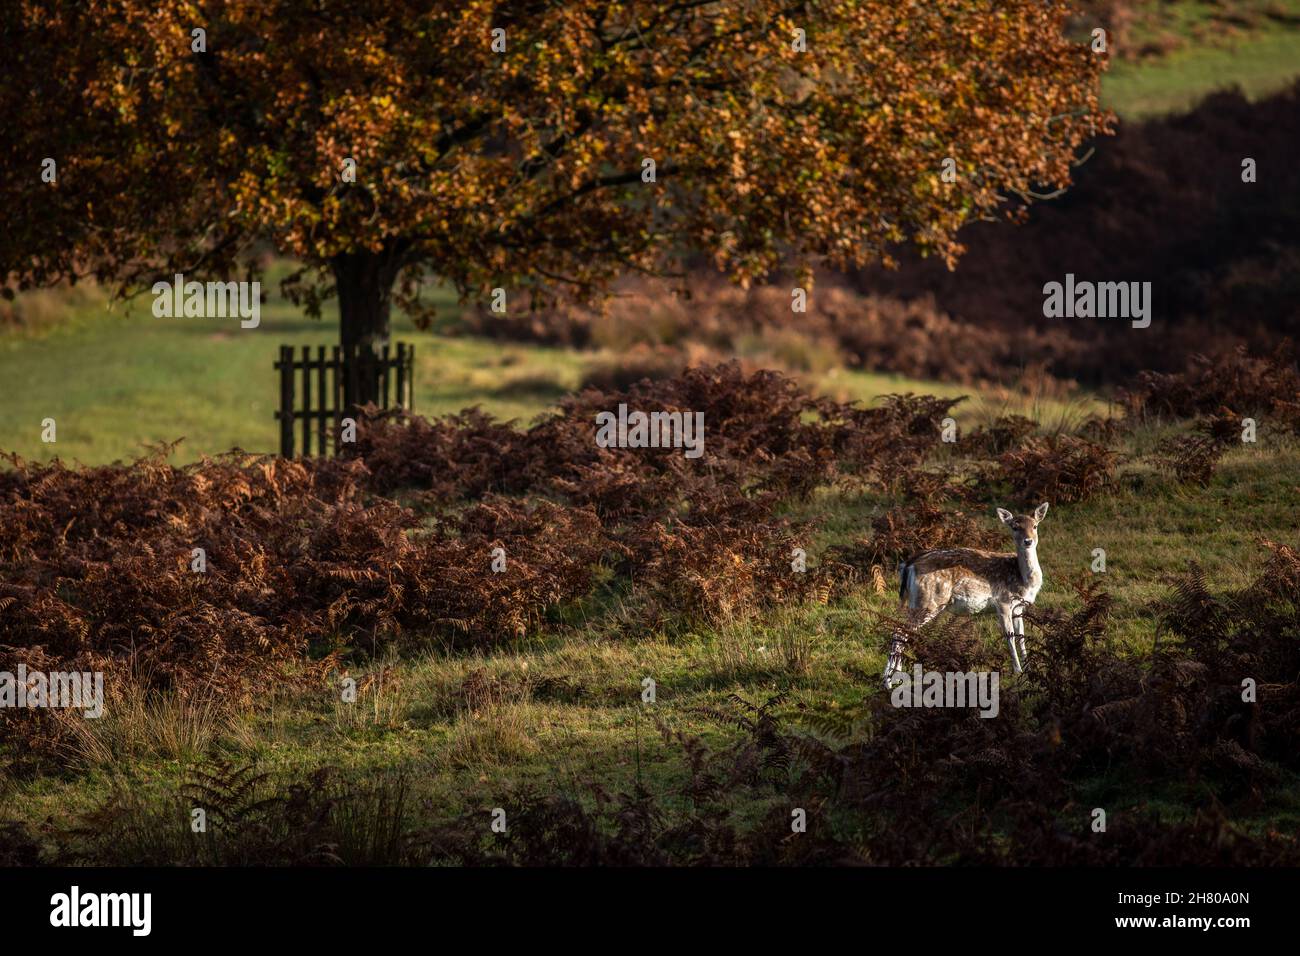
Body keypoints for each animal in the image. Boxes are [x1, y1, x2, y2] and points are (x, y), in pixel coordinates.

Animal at [883, 503, 1049, 688]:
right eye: (1014, 527)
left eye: (1035, 526)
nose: (1028, 541)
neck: (1023, 581)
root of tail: (908, 564)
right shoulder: (1003, 602)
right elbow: (1010, 638)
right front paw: (1018, 672)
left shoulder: (1019, 607)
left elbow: (1022, 638)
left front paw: (1028, 670)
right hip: (928, 600)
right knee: (899, 631)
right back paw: (888, 681)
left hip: (914, 601)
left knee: (901, 630)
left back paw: (895, 677)